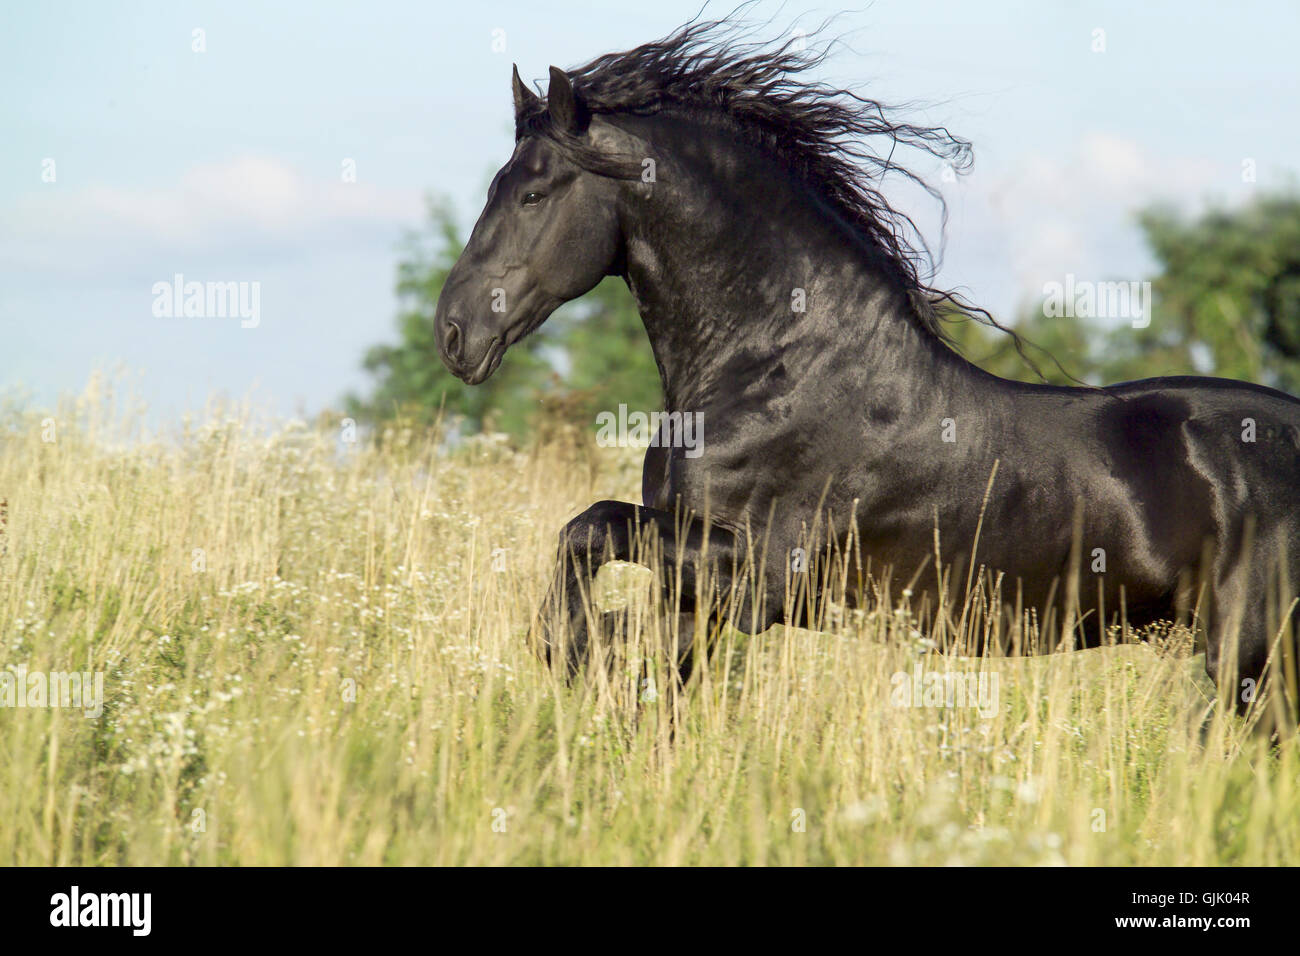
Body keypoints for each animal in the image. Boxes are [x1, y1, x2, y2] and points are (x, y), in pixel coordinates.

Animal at [434, 18, 1300, 718]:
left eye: (534, 194)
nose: (453, 331)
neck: (777, 371)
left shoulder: (761, 578)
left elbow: (590, 533)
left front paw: (573, 649)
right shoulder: (694, 589)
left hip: (1249, 657)